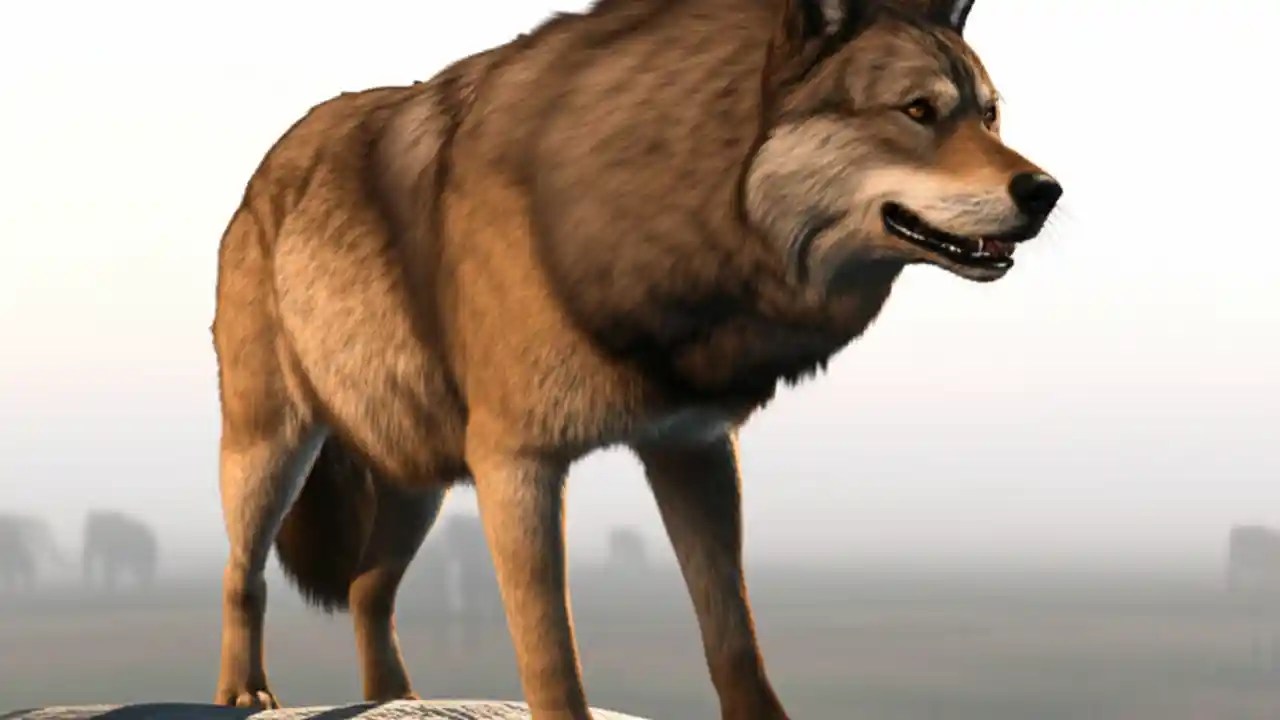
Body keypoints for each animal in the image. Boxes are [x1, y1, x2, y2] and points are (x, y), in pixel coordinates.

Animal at [209, 0, 1062, 717]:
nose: (1045, 191)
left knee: (367, 589)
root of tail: (269, 165)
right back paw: (246, 692)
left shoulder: (693, 448)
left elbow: (732, 636)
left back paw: (397, 700)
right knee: (244, 574)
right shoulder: (517, 463)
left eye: (990, 115)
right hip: (274, 451)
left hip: (424, 476)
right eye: (918, 110)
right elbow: (551, 656)